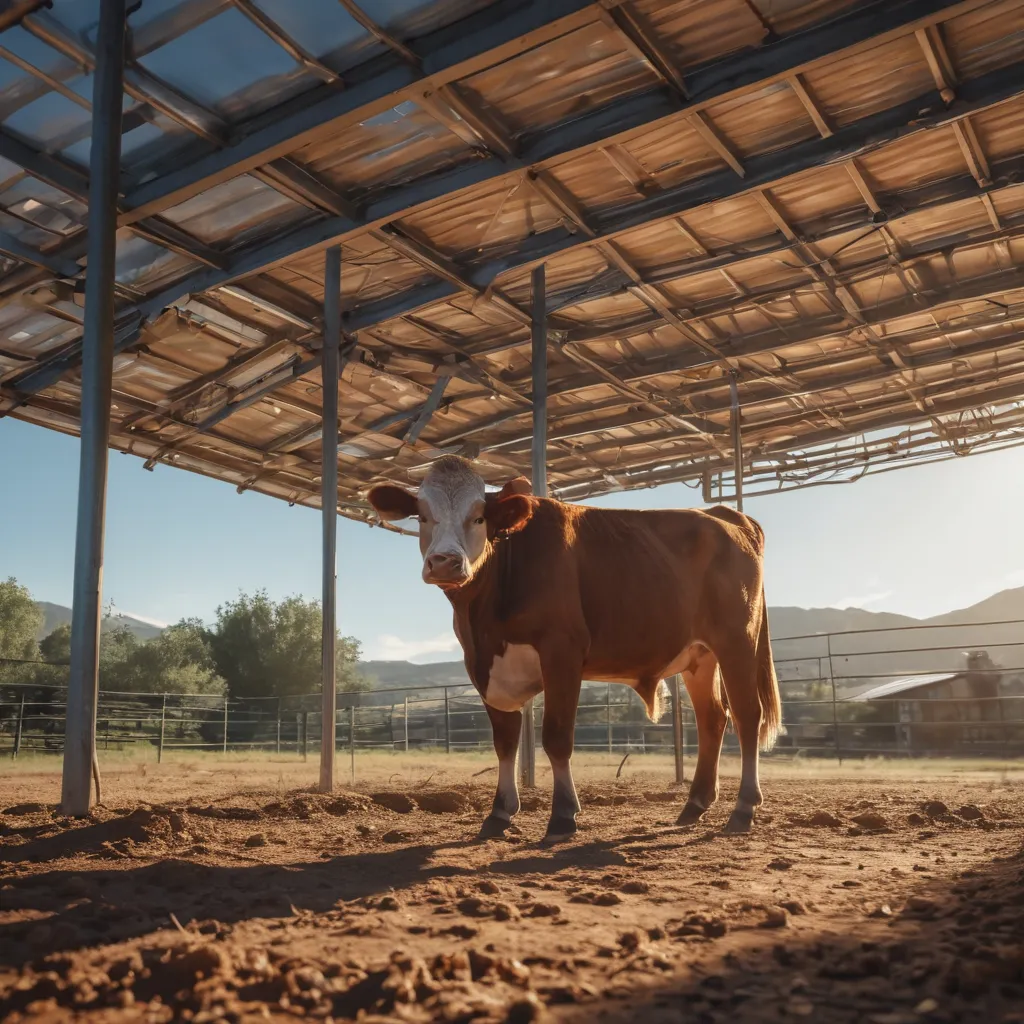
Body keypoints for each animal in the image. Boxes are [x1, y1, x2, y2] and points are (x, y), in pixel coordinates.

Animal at [368, 456, 780, 841]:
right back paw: (694, 805)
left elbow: (556, 737)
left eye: (479, 517)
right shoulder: (483, 665)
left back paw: (743, 809)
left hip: (737, 641)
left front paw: (563, 815)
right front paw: (500, 813)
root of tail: (727, 514)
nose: (445, 562)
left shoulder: (562, 652)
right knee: (713, 719)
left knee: (747, 716)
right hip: (699, 657)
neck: (485, 618)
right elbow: (505, 741)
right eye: (422, 515)